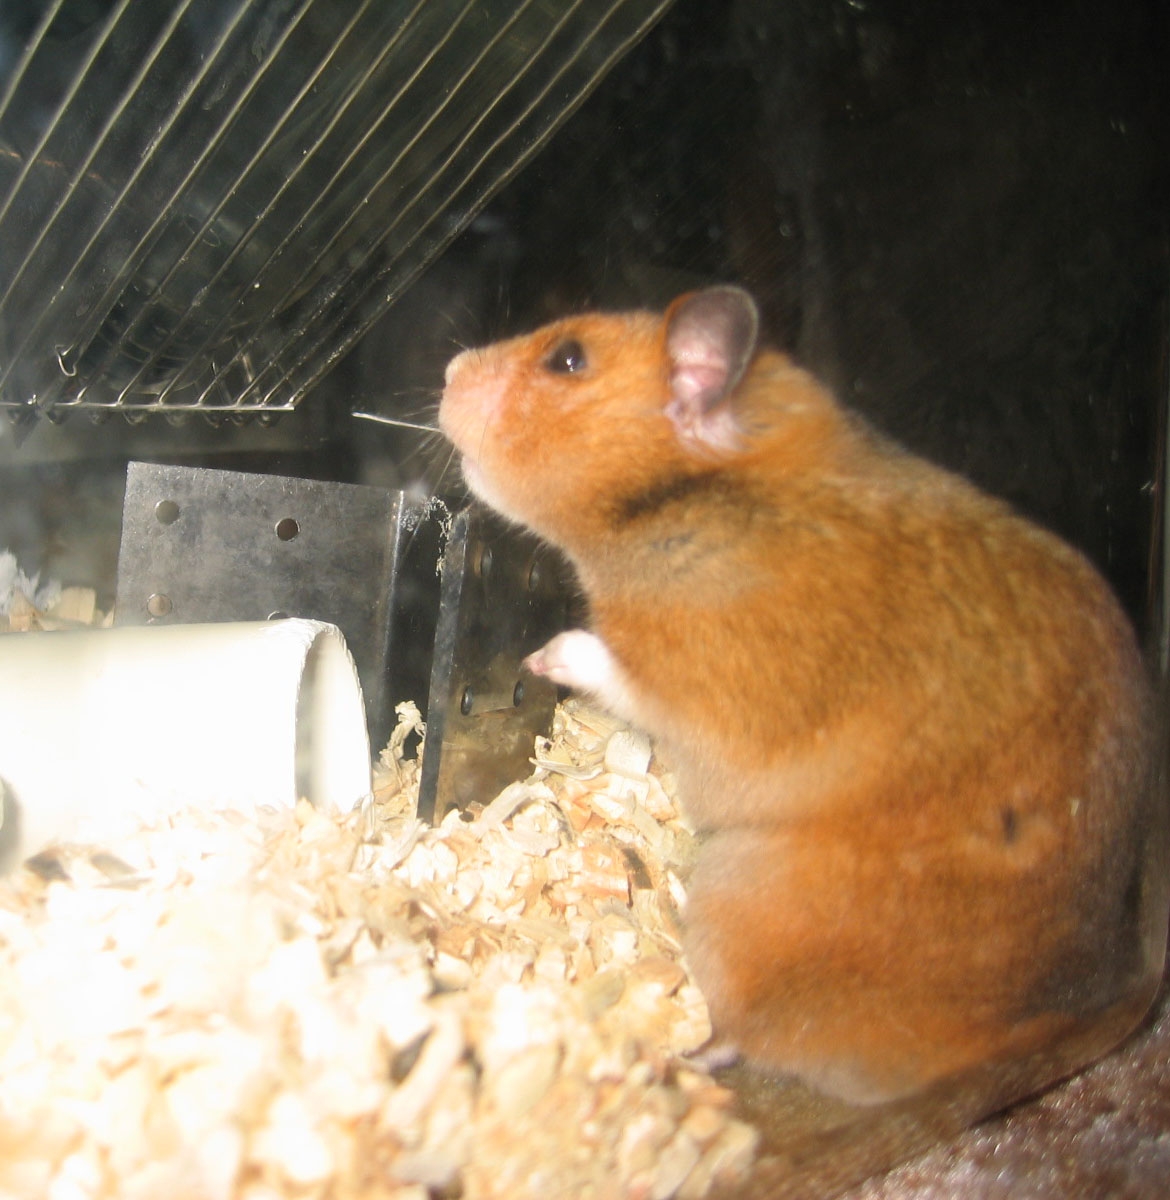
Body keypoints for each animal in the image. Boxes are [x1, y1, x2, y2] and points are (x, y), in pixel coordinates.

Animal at [438, 284, 1165, 1105]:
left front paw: (540, 656)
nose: (448, 370)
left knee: (741, 1036)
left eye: (567, 360)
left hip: (737, 902)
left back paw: (673, 1060)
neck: (702, 495)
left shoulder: (692, 681)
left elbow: (606, 664)